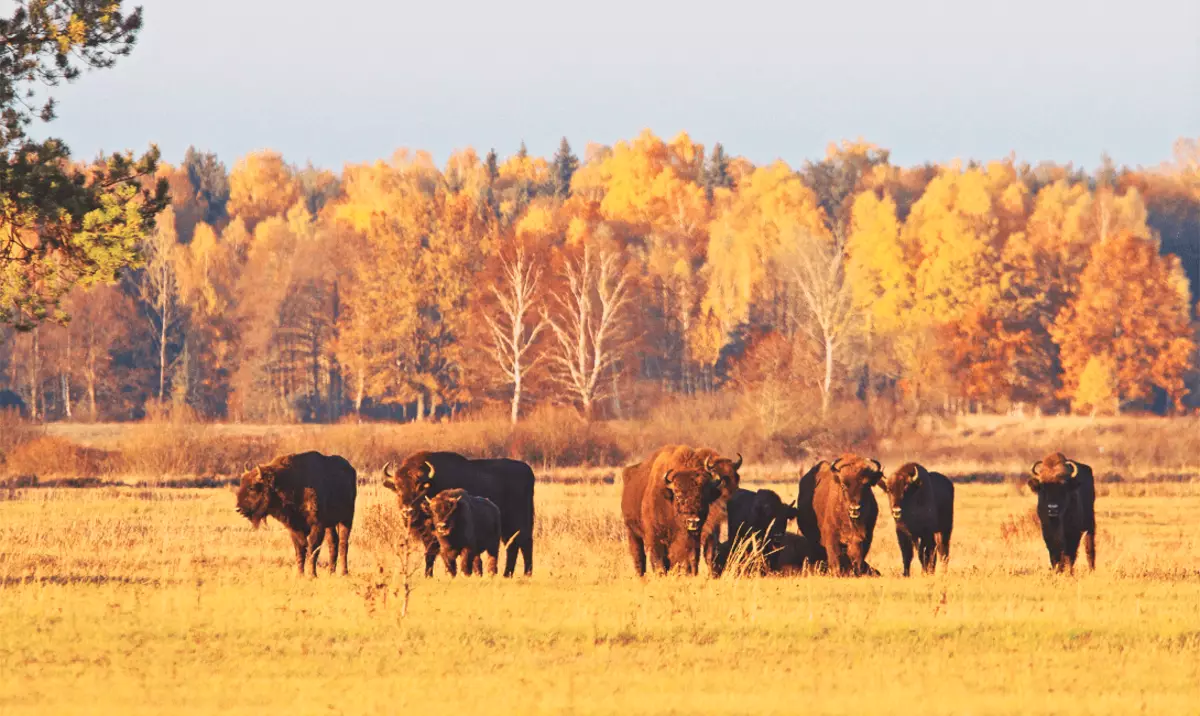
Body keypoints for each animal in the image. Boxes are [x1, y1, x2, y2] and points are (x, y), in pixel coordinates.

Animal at [384, 453, 535, 575]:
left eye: (419, 486)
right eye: (398, 488)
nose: (407, 510)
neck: (433, 484)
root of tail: (528, 471)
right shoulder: (427, 534)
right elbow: (430, 554)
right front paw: (428, 575)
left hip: (519, 523)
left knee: (524, 543)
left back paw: (525, 574)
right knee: (513, 545)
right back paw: (508, 574)